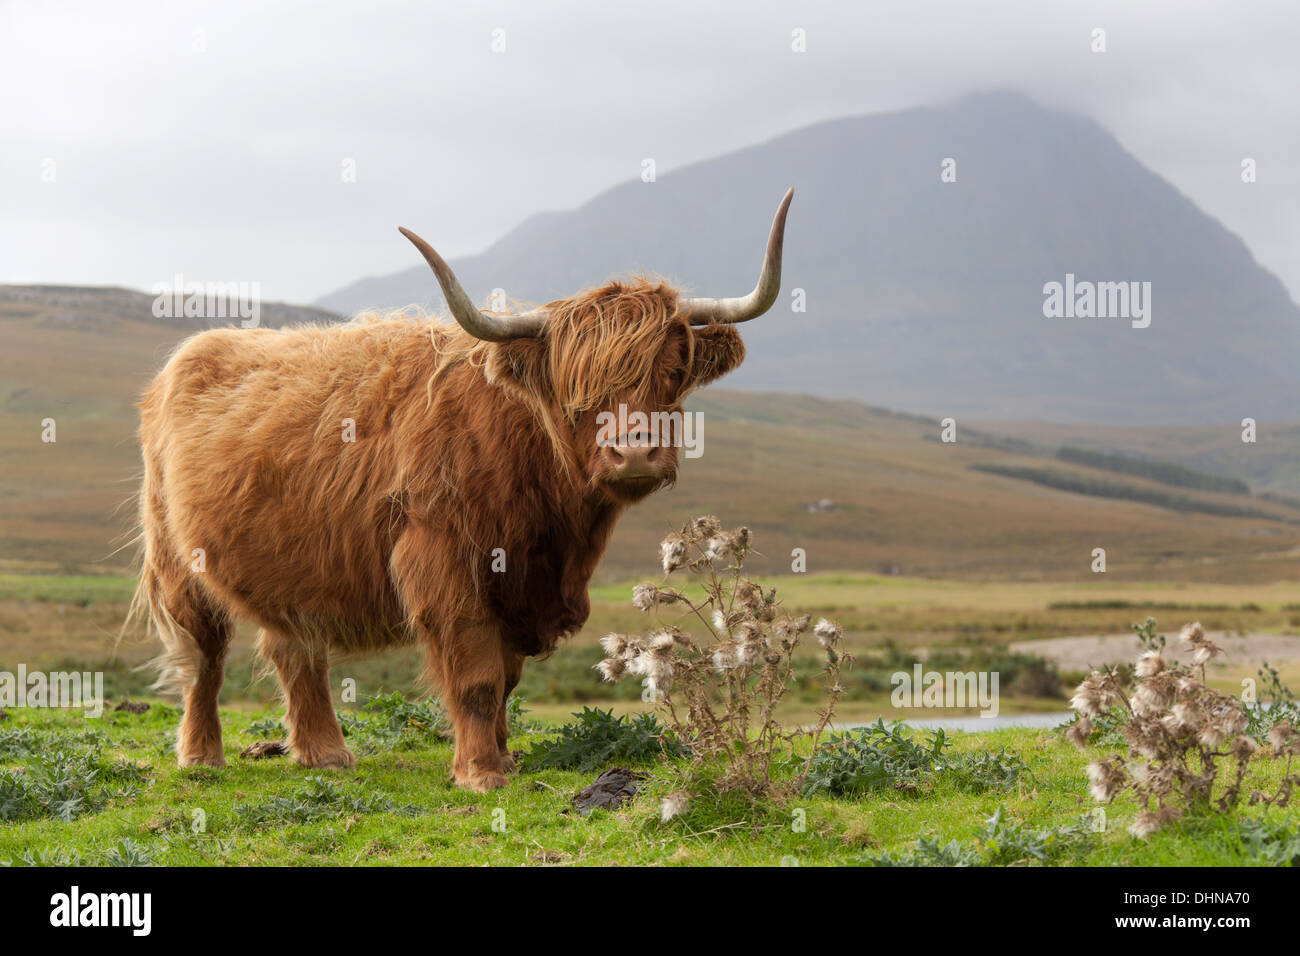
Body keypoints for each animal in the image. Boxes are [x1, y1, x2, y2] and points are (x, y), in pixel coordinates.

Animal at [130, 189, 792, 791]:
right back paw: (202, 757)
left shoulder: (522, 586)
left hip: (291, 569)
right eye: (576, 387)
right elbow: (476, 676)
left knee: (295, 649)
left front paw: (504, 756)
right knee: (204, 658)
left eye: (673, 370)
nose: (632, 452)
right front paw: (480, 773)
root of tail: (189, 355)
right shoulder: (444, 561)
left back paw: (325, 754)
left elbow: (506, 678)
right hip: (178, 561)